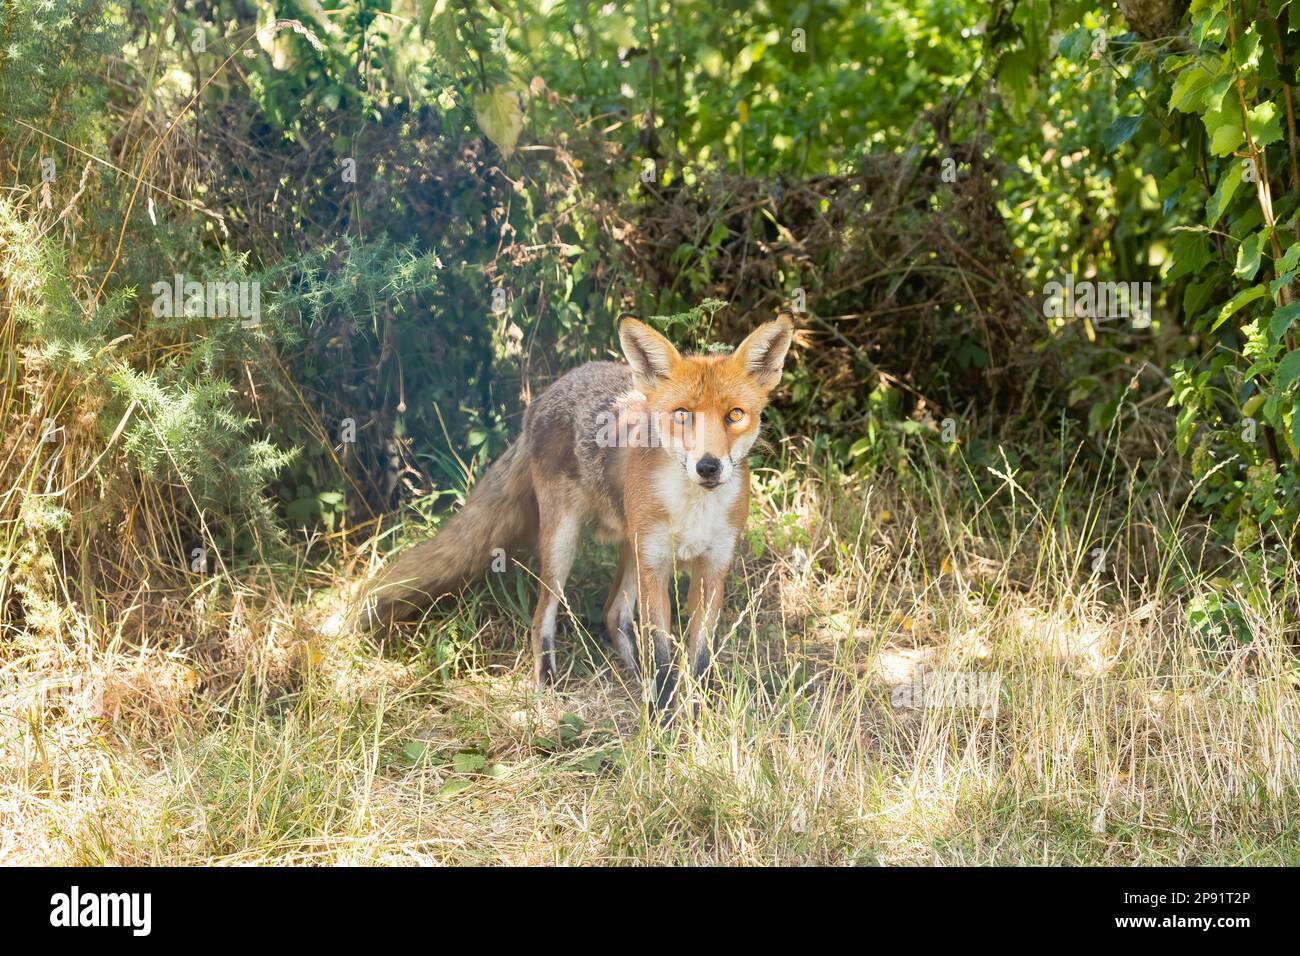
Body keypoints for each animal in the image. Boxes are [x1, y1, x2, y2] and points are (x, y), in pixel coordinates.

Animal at [359, 311, 795, 708]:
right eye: (682, 415)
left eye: (734, 414)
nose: (708, 466)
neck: (693, 514)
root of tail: (550, 391)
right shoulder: (656, 568)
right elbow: (662, 658)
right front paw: (664, 722)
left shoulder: (712, 569)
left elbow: (699, 660)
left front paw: (697, 715)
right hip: (564, 544)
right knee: (543, 618)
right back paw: (548, 687)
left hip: (631, 547)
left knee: (613, 613)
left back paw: (633, 678)